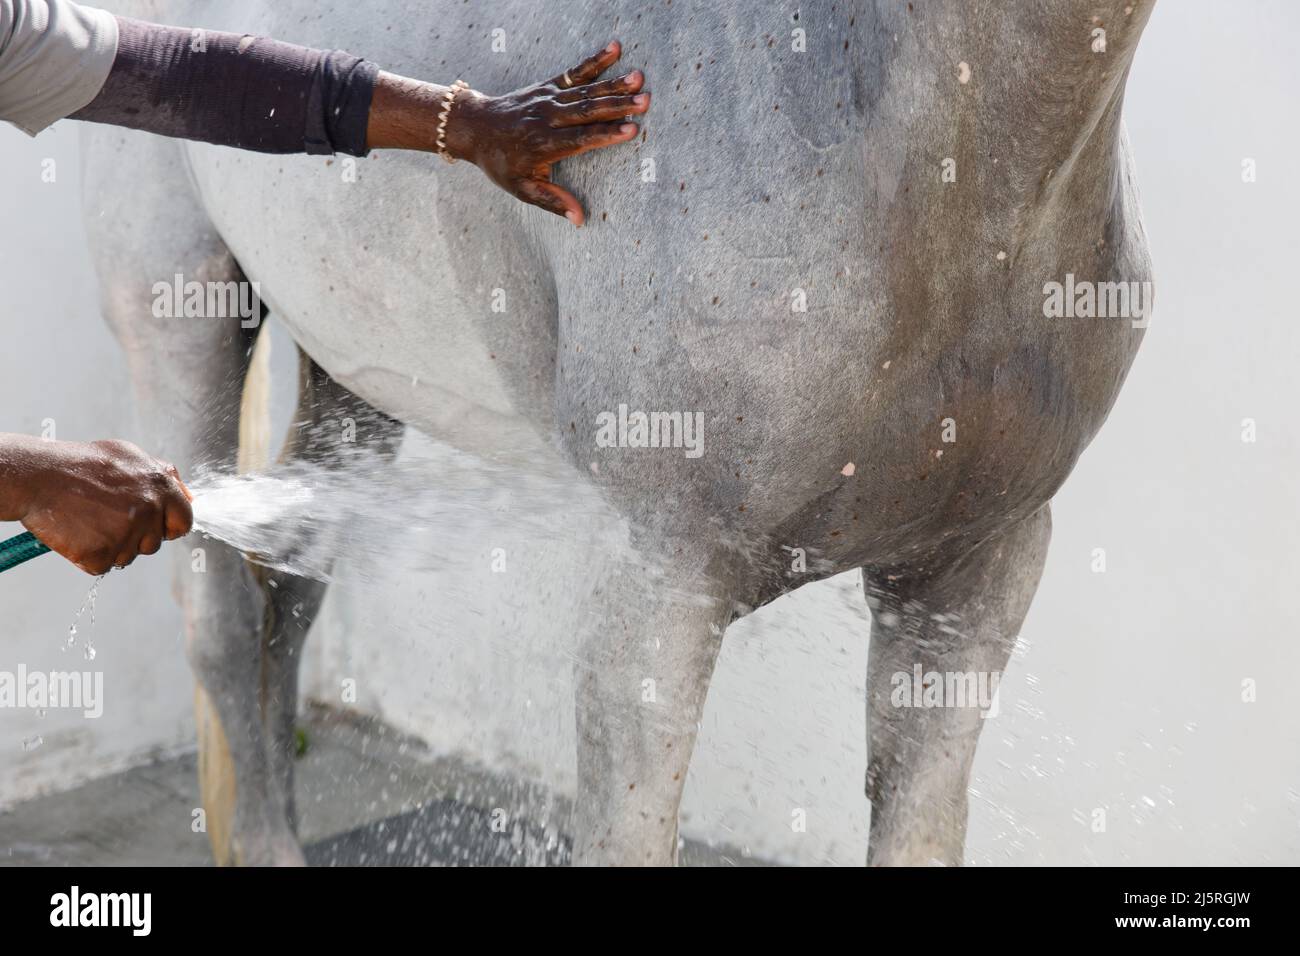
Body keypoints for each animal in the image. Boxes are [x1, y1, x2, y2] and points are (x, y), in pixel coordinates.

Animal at [81, 0, 1155, 865]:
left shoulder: (977, 563)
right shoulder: (661, 578)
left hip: (351, 372)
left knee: (288, 591)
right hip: (181, 314)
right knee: (221, 614)